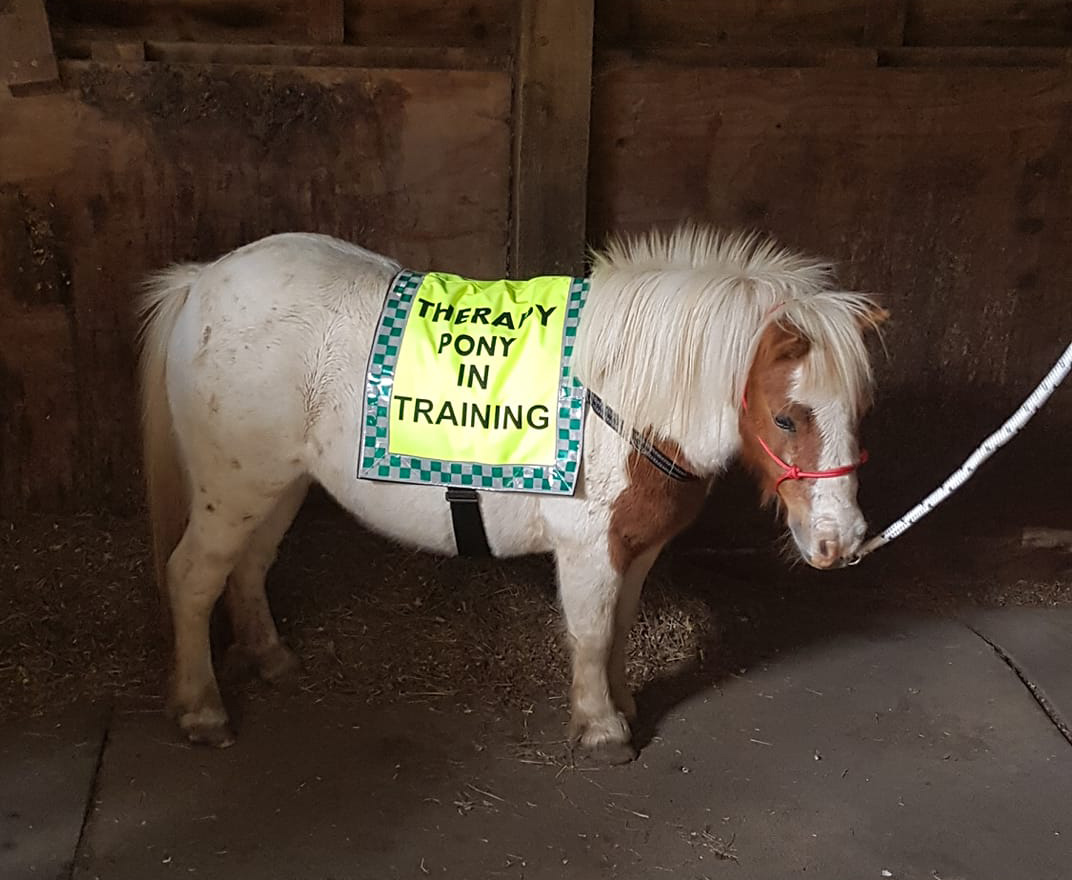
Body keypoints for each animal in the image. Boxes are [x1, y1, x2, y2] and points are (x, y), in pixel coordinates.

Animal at [137, 225, 886, 762]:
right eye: (787, 418)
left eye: (860, 409)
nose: (842, 541)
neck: (621, 396)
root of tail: (202, 281)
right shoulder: (588, 548)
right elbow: (590, 632)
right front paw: (601, 729)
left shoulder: (634, 546)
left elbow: (619, 627)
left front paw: (621, 704)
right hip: (233, 484)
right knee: (193, 578)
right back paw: (202, 709)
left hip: (276, 482)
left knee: (248, 567)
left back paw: (270, 657)